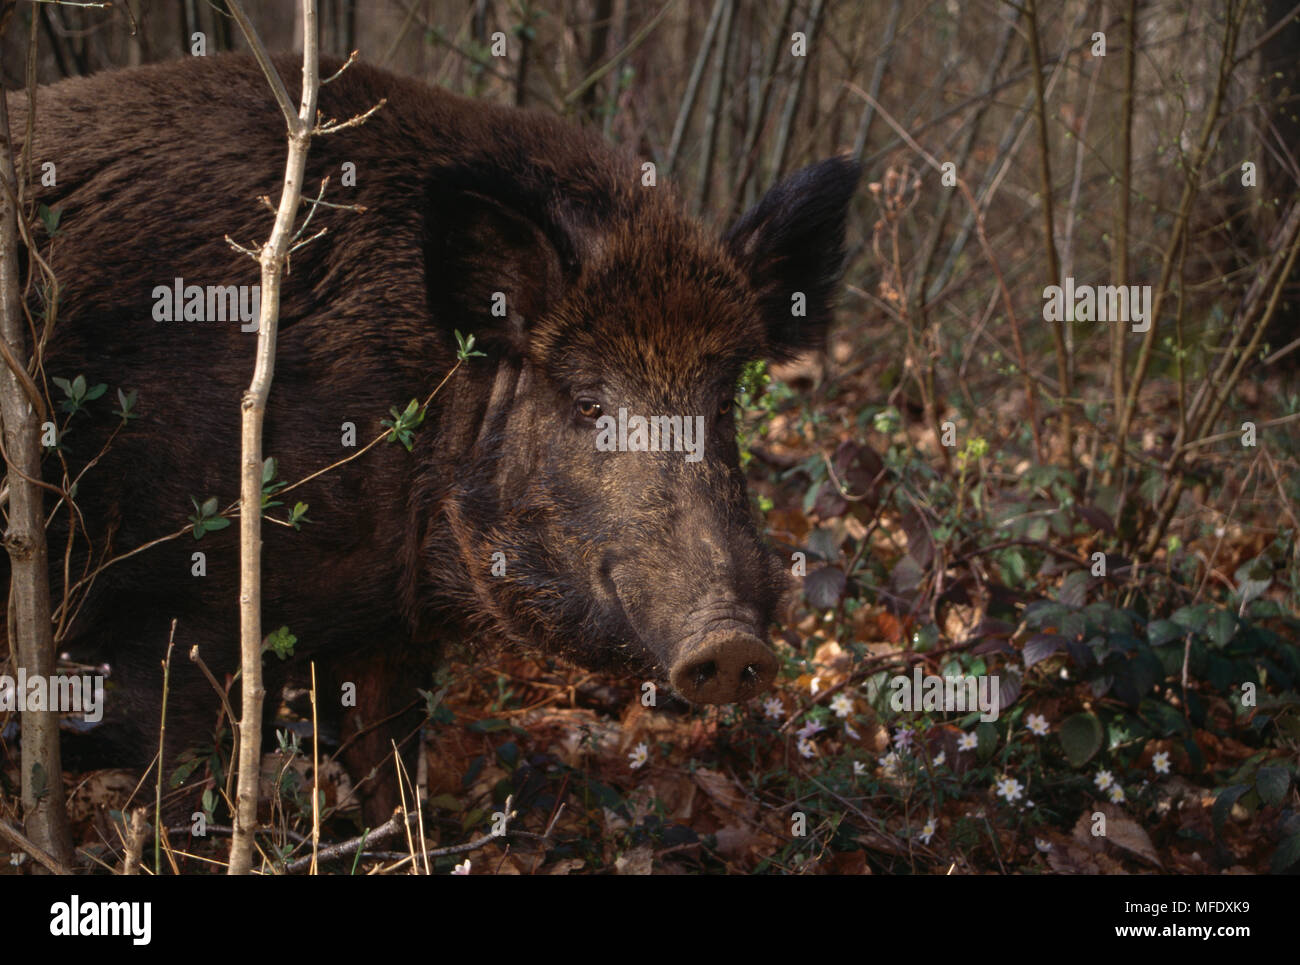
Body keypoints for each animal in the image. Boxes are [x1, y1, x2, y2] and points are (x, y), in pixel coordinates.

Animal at [3, 52, 858, 824]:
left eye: (724, 404)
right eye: (587, 402)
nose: (736, 643)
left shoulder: (387, 626)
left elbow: (386, 765)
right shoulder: (175, 606)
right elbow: (183, 775)